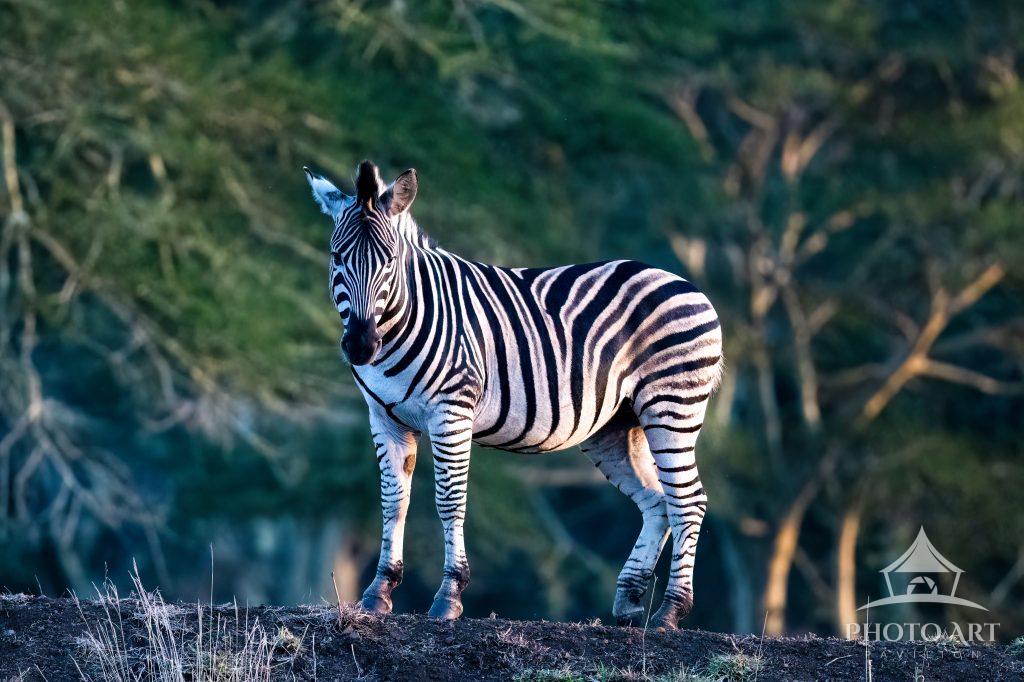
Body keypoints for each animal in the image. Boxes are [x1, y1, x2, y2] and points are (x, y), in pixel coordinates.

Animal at [304, 160, 723, 629]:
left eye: (390, 260)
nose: (361, 345)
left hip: (671, 407)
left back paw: (670, 611)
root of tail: (685, 283)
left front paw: (449, 596)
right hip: (617, 426)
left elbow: (449, 500)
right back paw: (628, 603)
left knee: (688, 501)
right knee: (656, 502)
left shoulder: (452, 411)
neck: (402, 320)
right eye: (337, 257)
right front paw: (379, 591)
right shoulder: (385, 418)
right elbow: (394, 501)